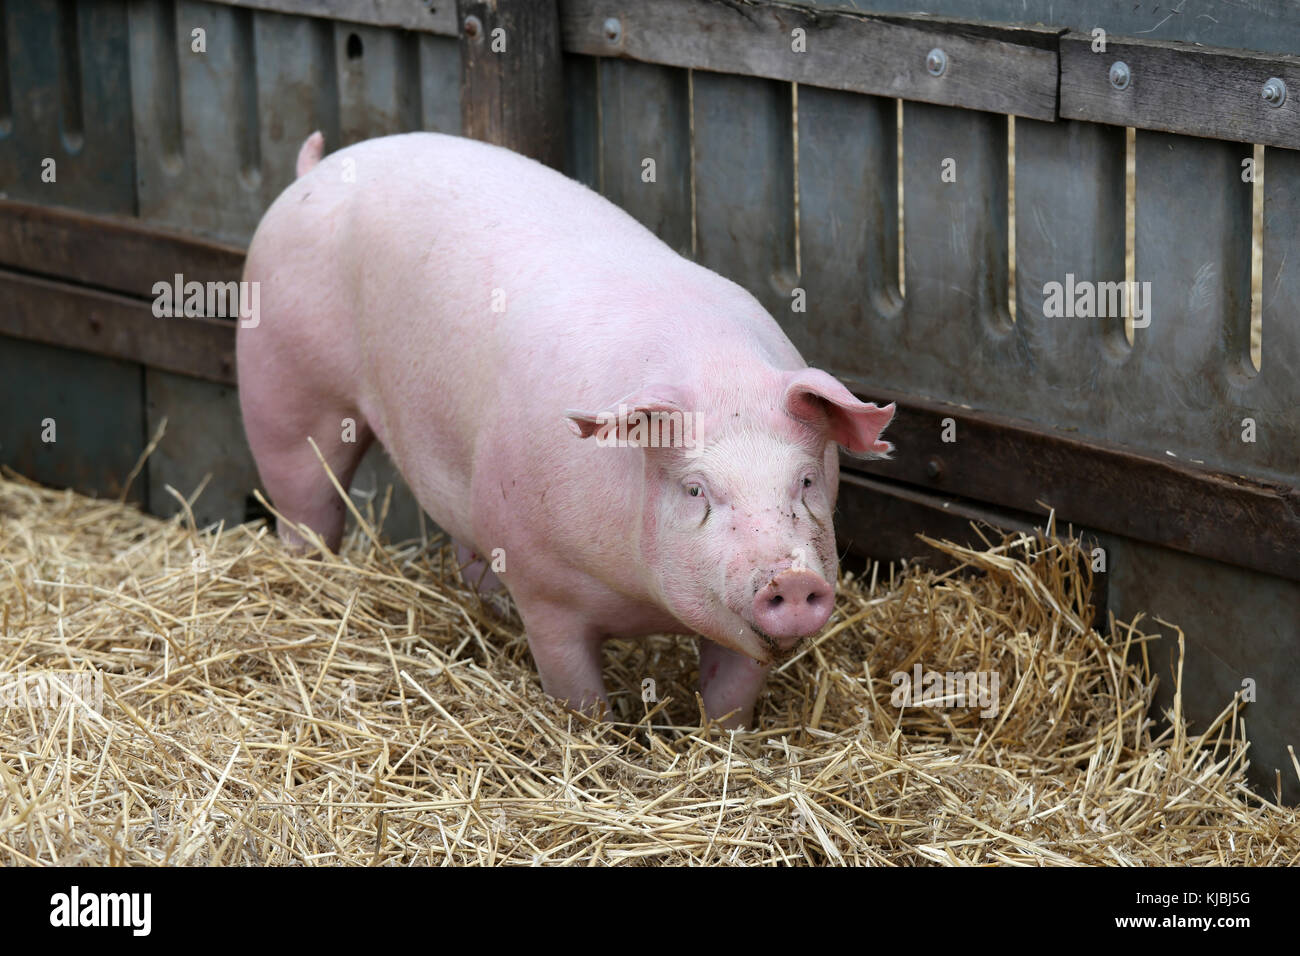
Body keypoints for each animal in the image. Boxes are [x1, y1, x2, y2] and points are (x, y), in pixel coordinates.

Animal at [237, 131, 894, 728]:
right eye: (696, 489)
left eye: (805, 481)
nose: (793, 580)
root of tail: (316, 169)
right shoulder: (545, 586)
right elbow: (575, 691)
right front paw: (595, 739)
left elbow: (731, 694)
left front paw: (721, 742)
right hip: (282, 381)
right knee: (305, 498)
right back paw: (311, 572)